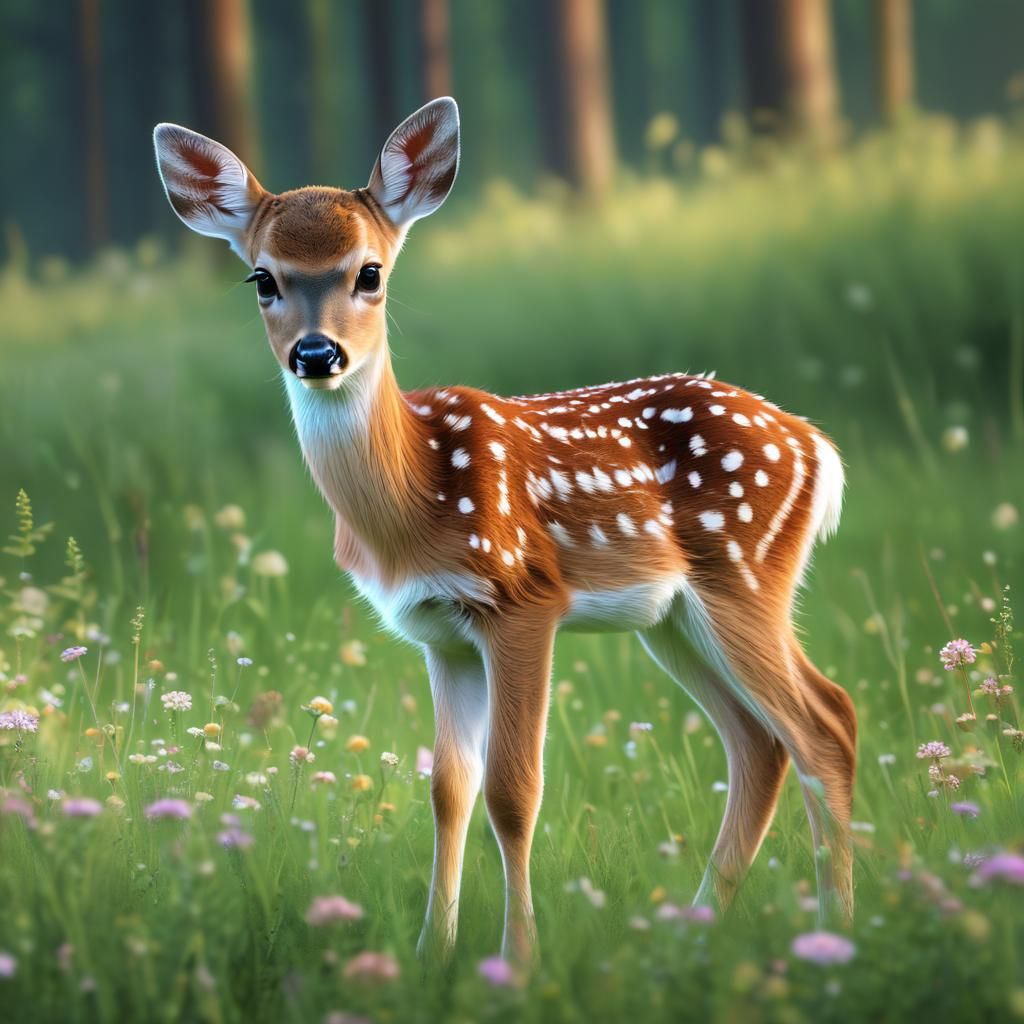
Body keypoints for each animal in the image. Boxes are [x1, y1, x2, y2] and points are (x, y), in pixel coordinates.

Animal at [153, 97, 856, 965]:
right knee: (761, 744)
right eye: (263, 278)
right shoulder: (440, 633)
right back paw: (695, 933)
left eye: (369, 272)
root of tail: (816, 446)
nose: (317, 354)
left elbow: (513, 791)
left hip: (744, 572)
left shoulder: (523, 599)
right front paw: (433, 951)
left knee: (824, 724)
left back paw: (839, 929)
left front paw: (517, 962)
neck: (410, 502)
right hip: (673, 617)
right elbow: (447, 789)